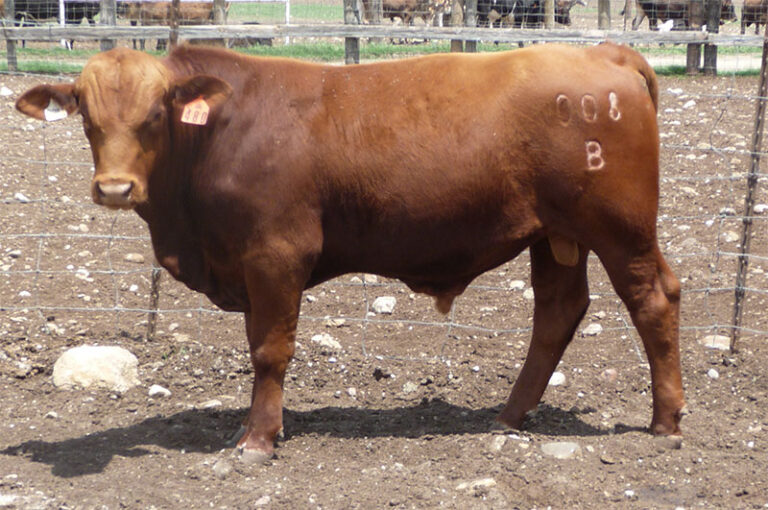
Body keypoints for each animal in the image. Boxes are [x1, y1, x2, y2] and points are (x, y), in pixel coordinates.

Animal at [16, 42, 685, 462]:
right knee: (557, 311)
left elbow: (270, 350)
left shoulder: (276, 254)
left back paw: (666, 421)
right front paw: (254, 427)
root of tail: (605, 52)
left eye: (156, 113)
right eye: (86, 115)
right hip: (553, 236)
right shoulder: (249, 264)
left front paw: (258, 440)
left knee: (653, 300)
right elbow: (257, 345)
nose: (114, 189)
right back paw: (509, 416)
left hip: (620, 230)